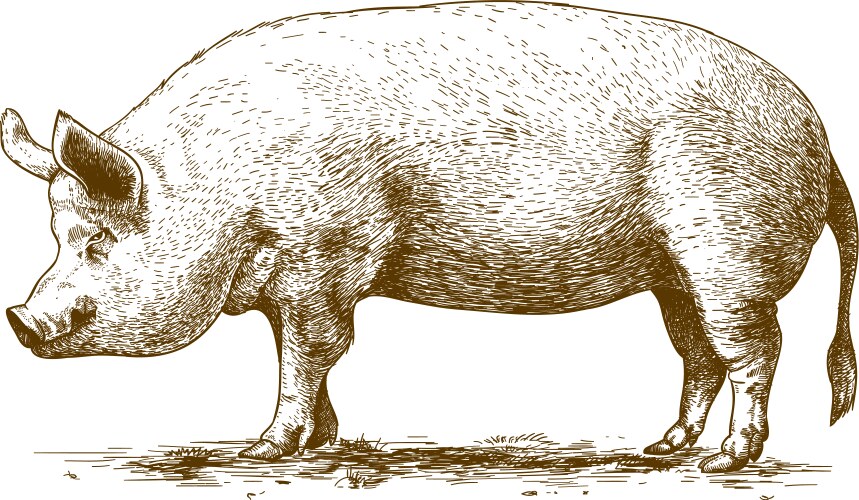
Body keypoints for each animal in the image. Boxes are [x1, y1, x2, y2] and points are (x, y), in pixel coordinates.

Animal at [1, 1, 856, 473]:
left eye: (98, 243)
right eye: (56, 235)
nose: (20, 318)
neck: (222, 191)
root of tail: (819, 139)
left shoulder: (327, 253)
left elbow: (310, 353)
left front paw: (262, 451)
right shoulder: (291, 278)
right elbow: (305, 355)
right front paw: (323, 443)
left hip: (729, 250)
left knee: (755, 347)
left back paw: (725, 460)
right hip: (674, 270)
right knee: (697, 353)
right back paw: (663, 448)